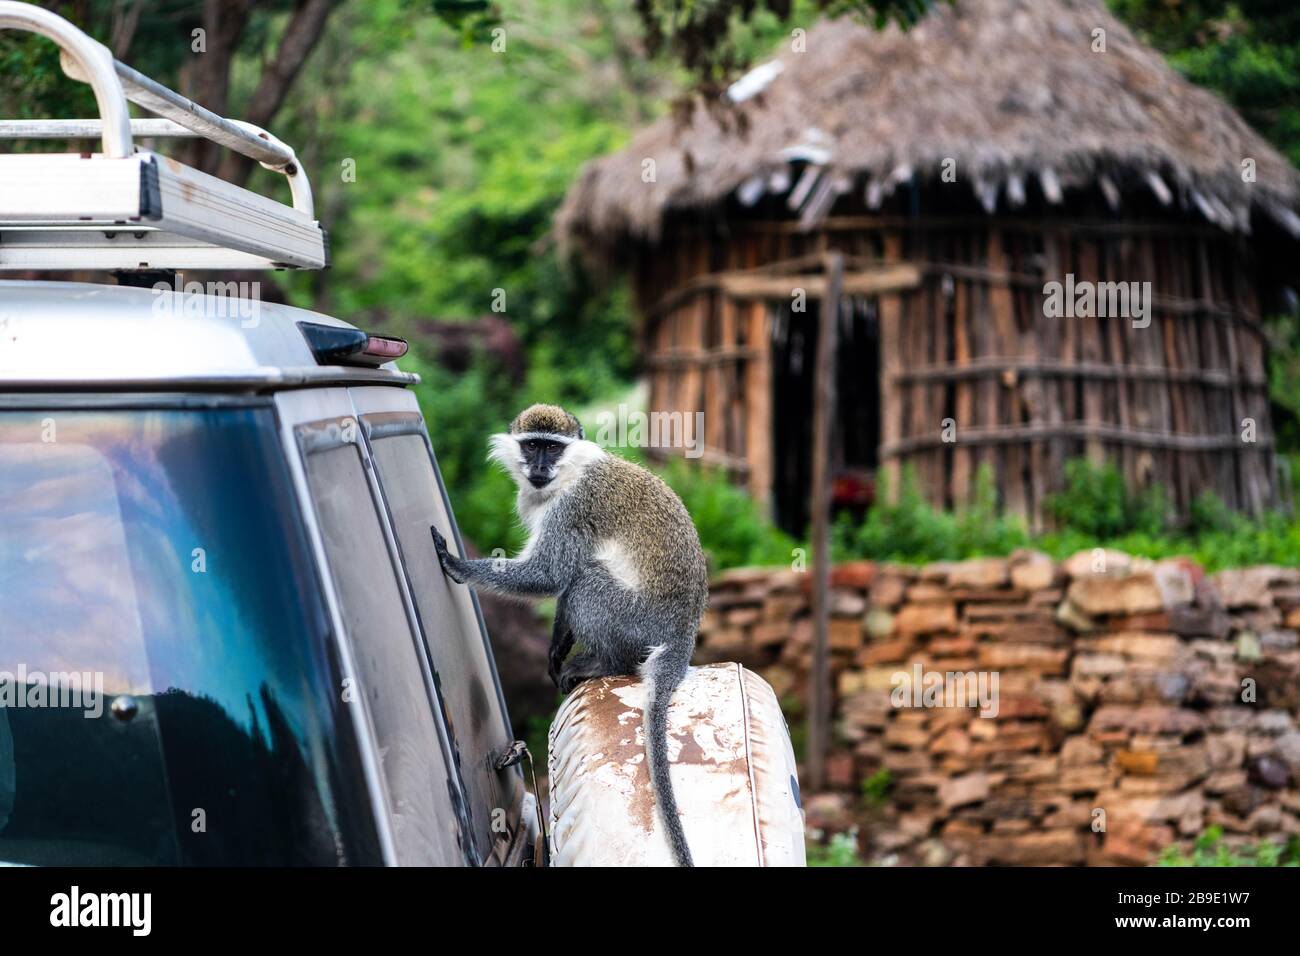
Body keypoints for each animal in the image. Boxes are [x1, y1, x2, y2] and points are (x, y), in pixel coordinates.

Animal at [429, 403, 707, 867]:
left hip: (636, 619)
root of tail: (684, 633)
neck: (566, 477)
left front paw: (458, 564)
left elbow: (552, 574)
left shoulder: (572, 510)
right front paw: (557, 643)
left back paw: (605, 663)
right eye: (532, 446)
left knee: (586, 582)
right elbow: (558, 581)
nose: (540, 467)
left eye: (552, 448)